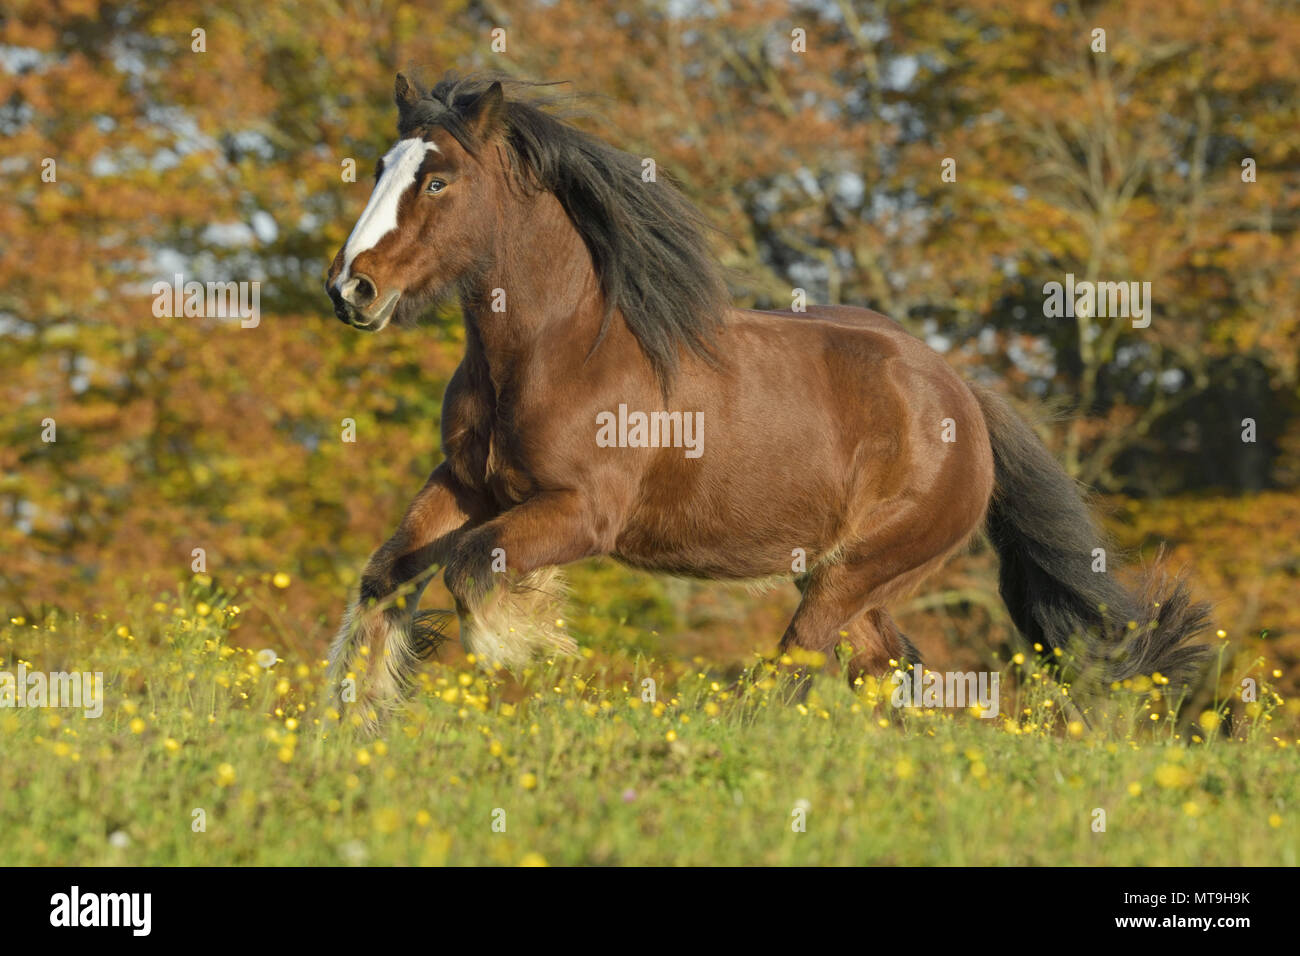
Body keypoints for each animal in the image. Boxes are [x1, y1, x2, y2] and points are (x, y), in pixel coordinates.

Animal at [324, 72, 1209, 729]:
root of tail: (963, 396)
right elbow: (384, 577)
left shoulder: (579, 513)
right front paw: (360, 720)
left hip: (855, 571)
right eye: (381, 168)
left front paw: (534, 646)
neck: (558, 348)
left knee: (796, 667)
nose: (349, 288)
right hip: (850, 580)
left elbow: (473, 571)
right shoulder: (464, 486)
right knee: (889, 666)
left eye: (438, 179)